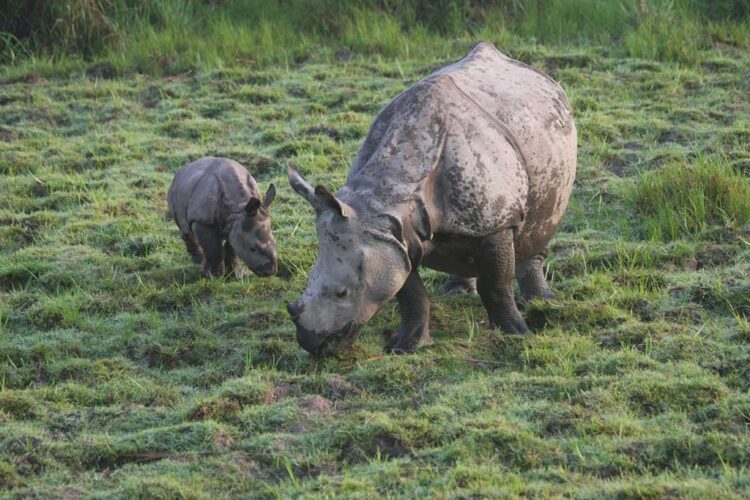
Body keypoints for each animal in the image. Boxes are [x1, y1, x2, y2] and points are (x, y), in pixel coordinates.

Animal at [286, 42, 576, 355]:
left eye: (342, 292)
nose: (311, 343)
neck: (386, 196)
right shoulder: (393, 237)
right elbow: (410, 295)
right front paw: (405, 347)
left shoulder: (497, 221)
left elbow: (496, 285)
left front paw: (514, 332)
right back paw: (456, 291)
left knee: (539, 227)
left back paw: (540, 302)